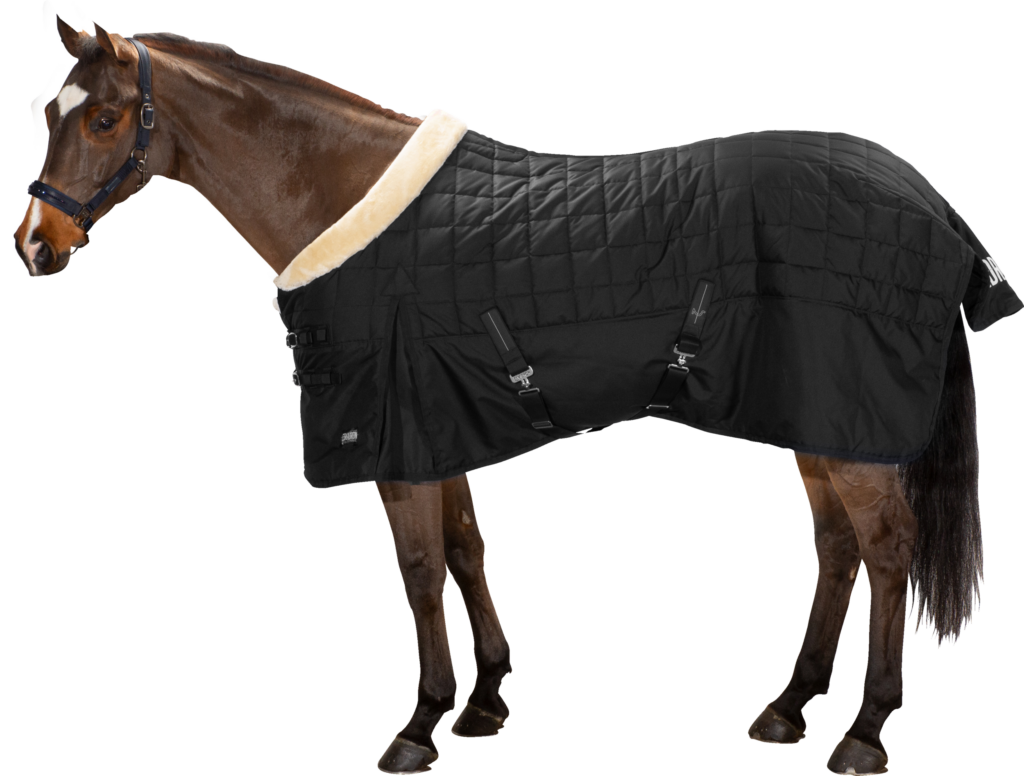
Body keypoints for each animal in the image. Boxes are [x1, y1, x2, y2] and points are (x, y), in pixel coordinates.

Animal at [13, 15, 1009, 776]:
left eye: (104, 118)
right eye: (42, 110)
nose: (31, 244)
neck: (348, 198)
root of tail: (936, 206)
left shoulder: (396, 442)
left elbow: (419, 571)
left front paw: (420, 725)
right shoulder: (438, 426)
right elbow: (466, 552)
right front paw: (486, 700)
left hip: (853, 432)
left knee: (886, 550)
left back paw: (864, 734)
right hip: (818, 419)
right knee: (837, 549)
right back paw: (787, 707)